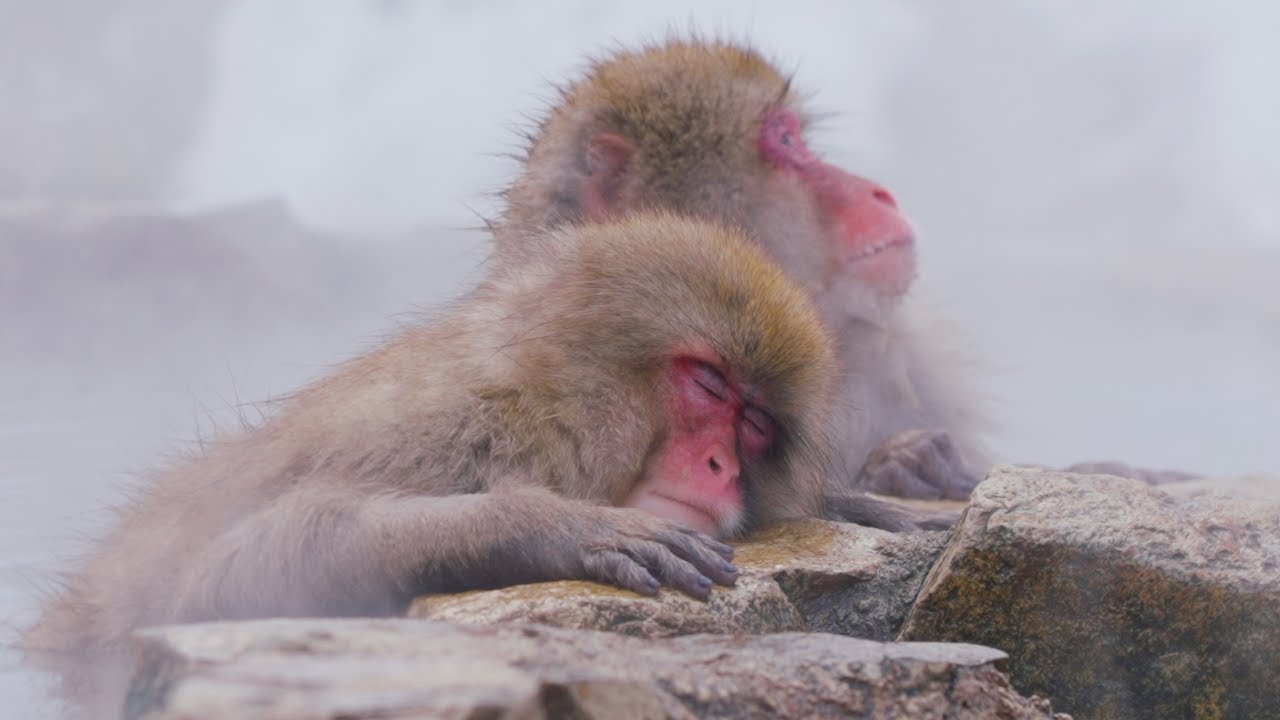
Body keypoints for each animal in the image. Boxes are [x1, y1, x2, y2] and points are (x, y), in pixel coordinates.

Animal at [24, 212, 844, 719]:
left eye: (755, 425)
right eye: (707, 384)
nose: (719, 464)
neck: (544, 406)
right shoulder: (450, 431)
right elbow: (223, 579)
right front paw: (546, 525)